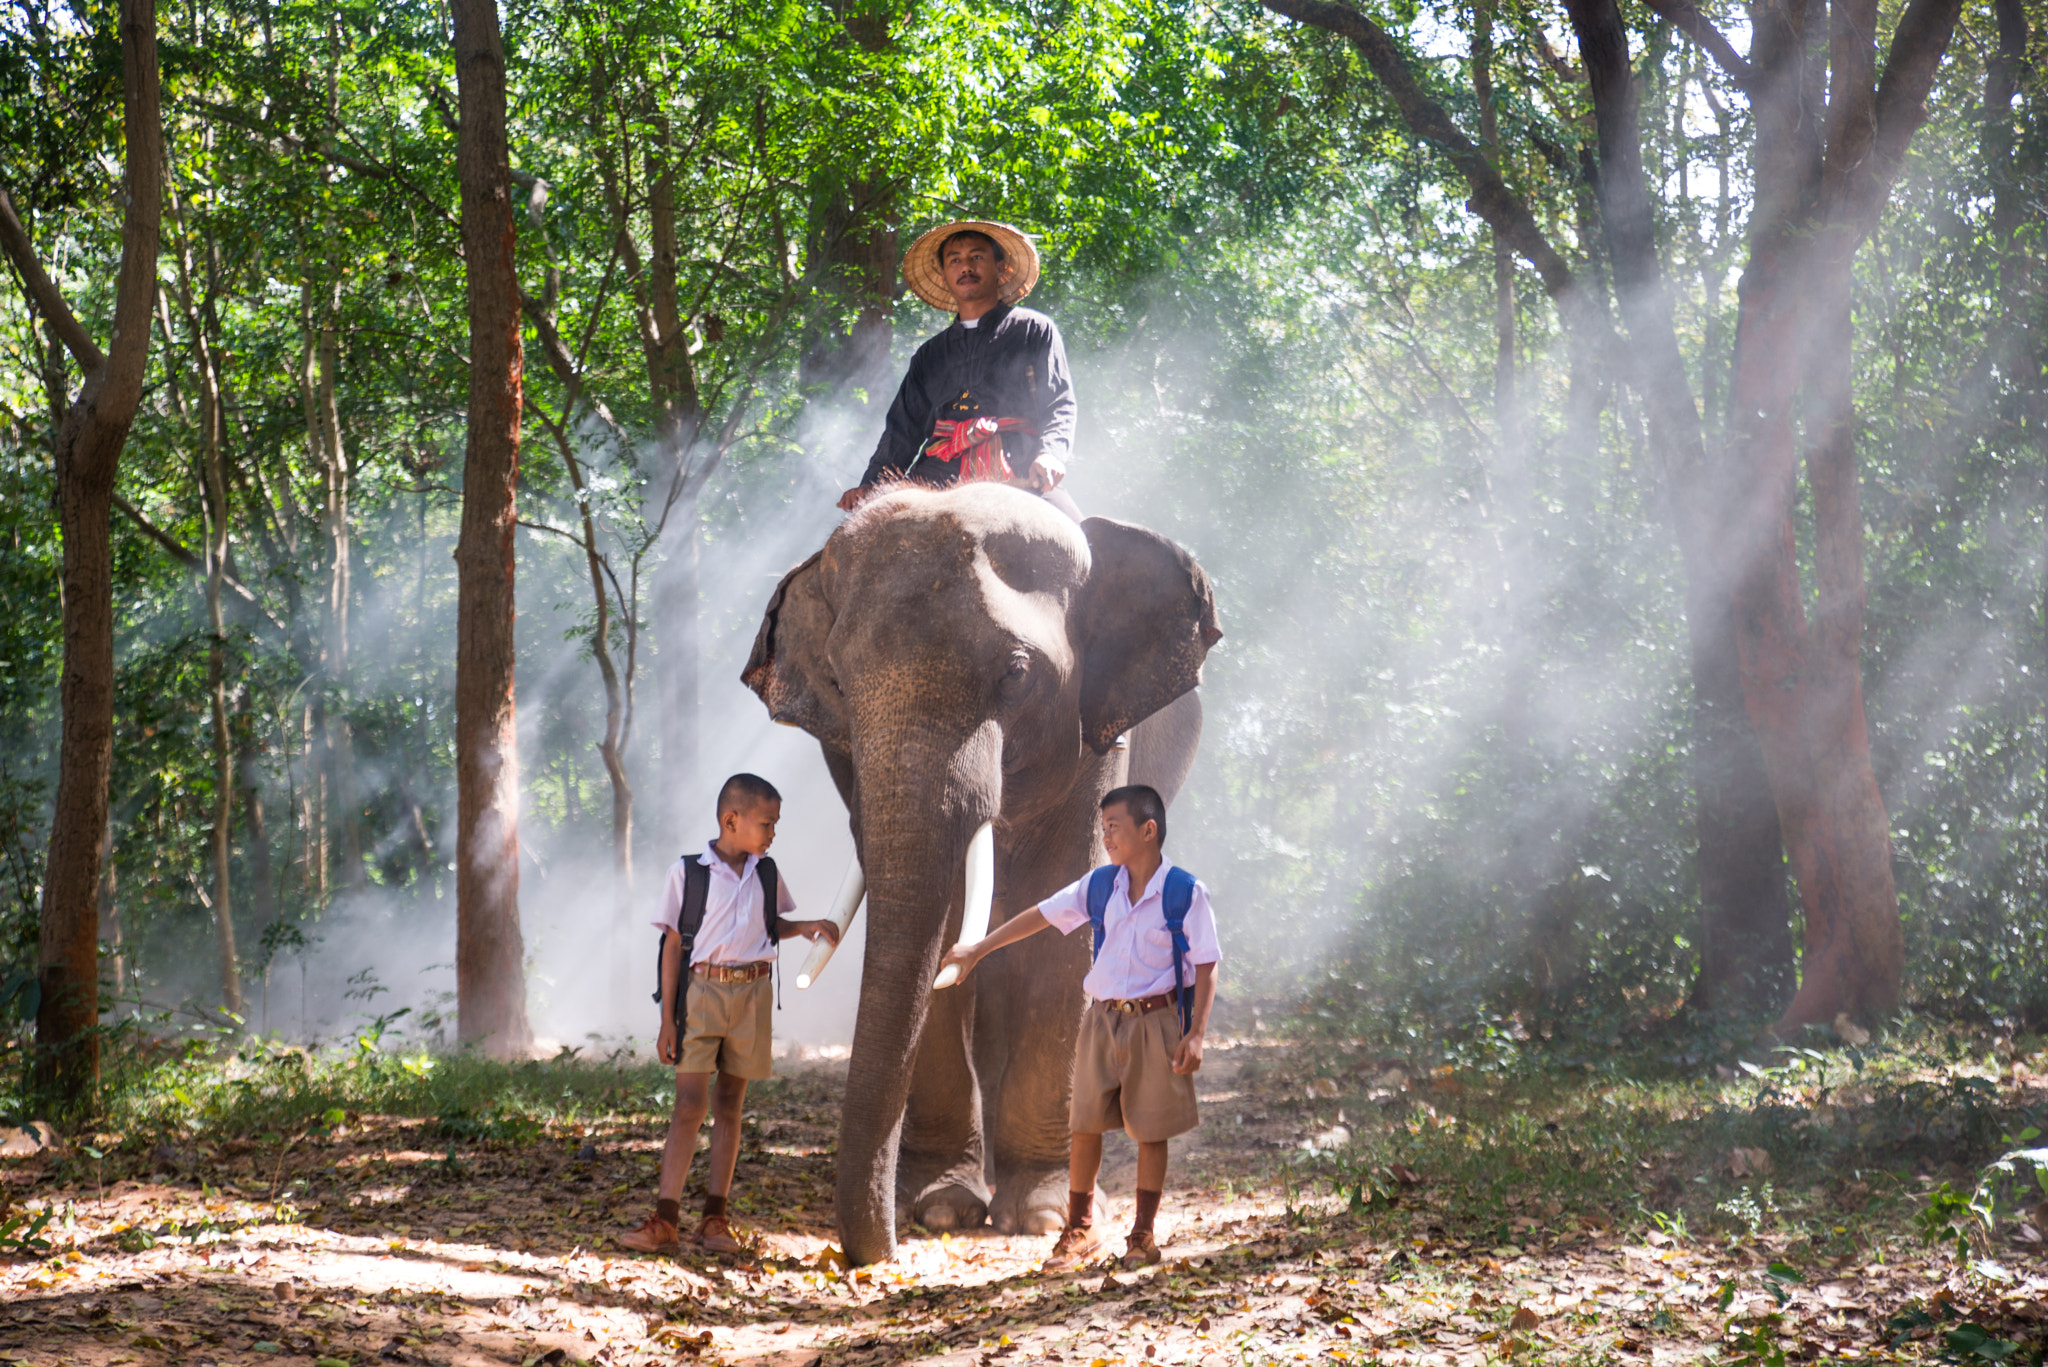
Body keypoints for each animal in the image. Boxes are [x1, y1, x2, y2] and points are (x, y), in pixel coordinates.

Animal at [741, 482, 1221, 1265]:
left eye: (1018, 673)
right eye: (839, 681)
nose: (879, 1253)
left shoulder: (1099, 743)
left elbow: (1065, 927)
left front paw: (1040, 1215)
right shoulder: (846, 755)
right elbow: (937, 932)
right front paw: (940, 1208)